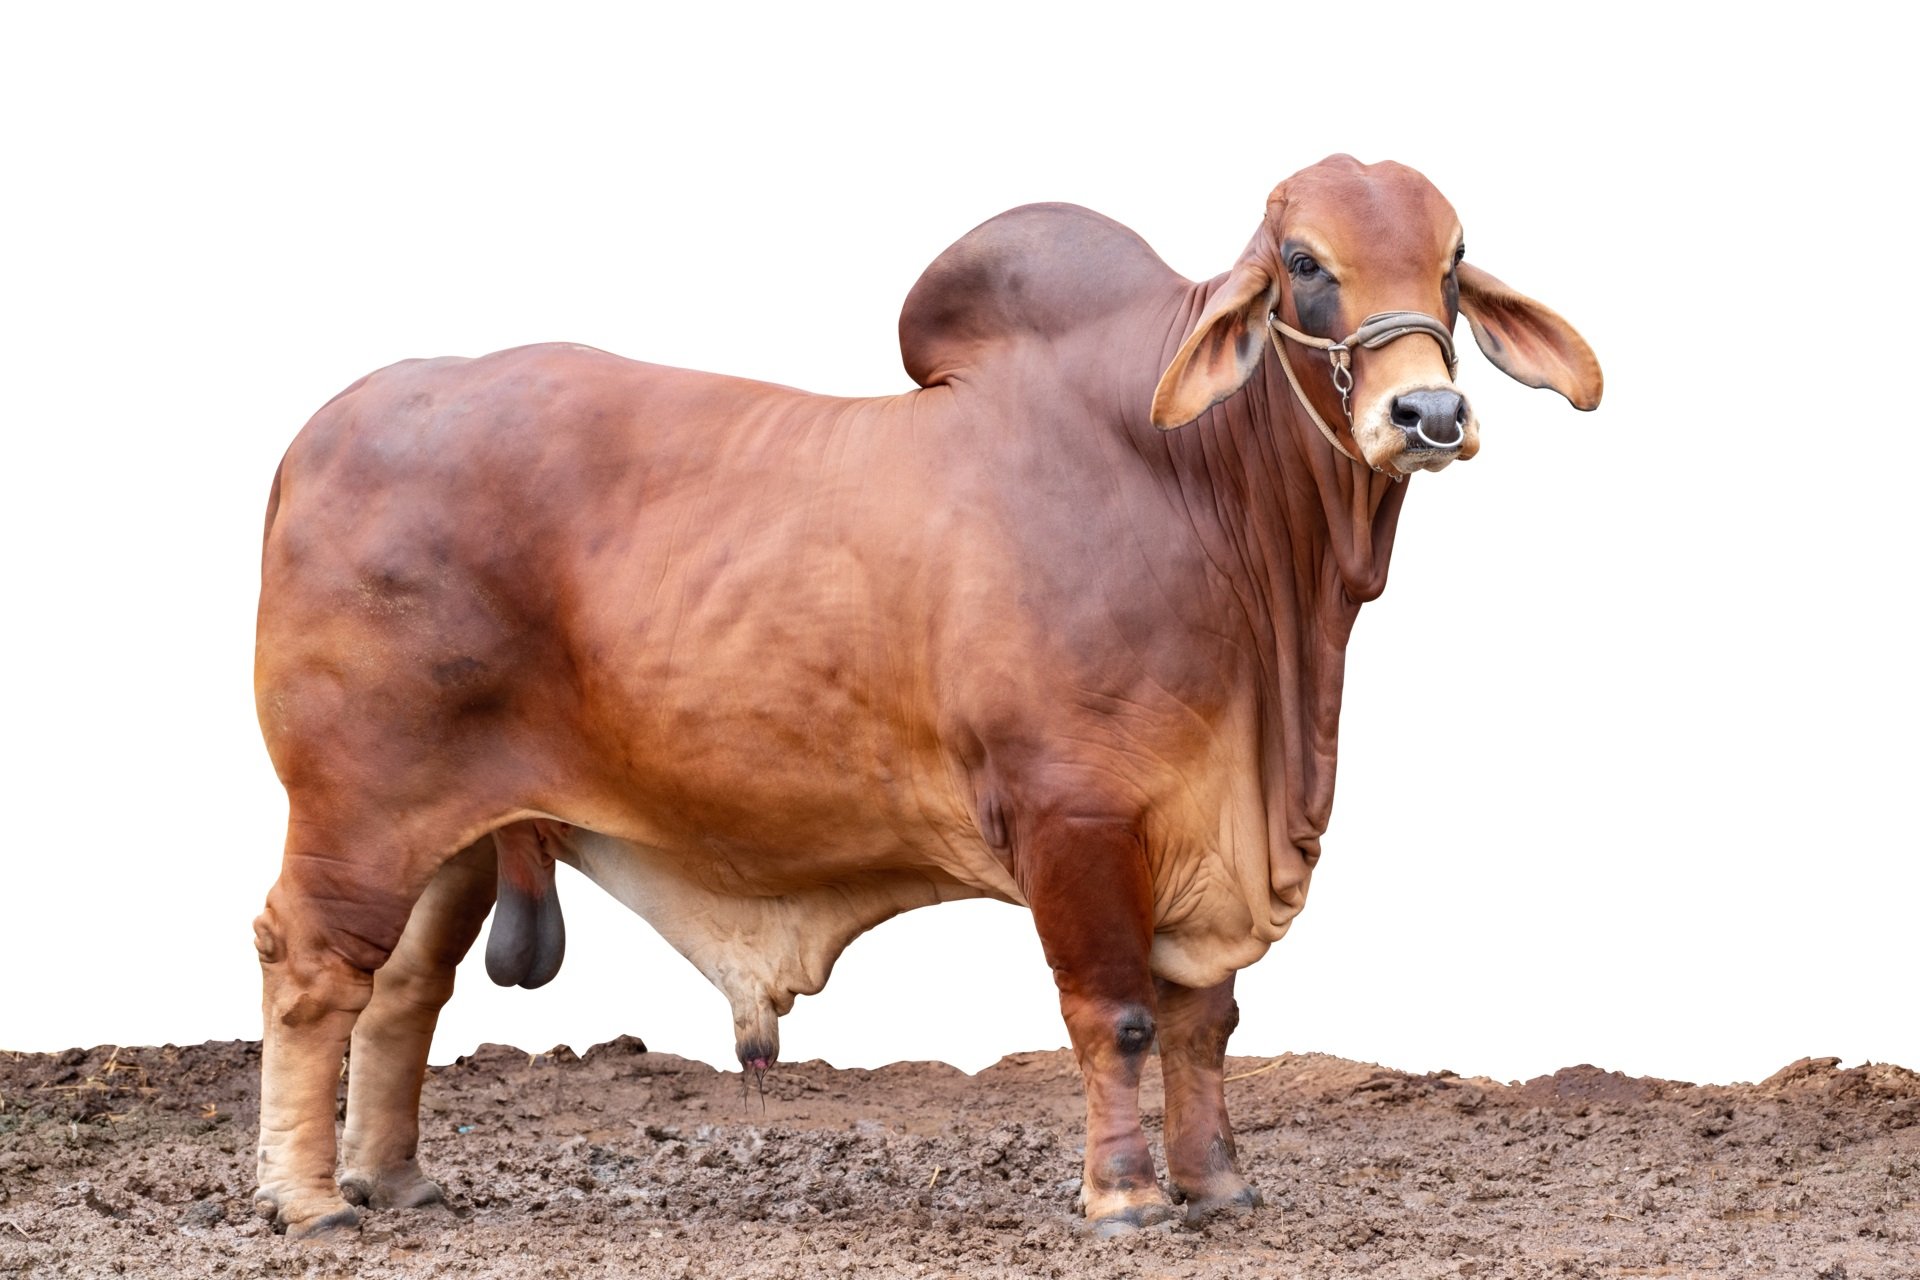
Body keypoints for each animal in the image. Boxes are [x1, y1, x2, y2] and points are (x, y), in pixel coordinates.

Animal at [250, 154, 1601, 1238]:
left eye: (1454, 259)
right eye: (1306, 263)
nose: (1428, 410)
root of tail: (321, 431)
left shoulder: (1201, 829)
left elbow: (1204, 1021)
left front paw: (1218, 1184)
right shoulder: (1077, 819)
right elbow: (1119, 1015)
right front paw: (1126, 1198)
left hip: (455, 831)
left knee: (404, 988)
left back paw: (394, 1179)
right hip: (358, 806)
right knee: (311, 966)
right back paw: (310, 1201)